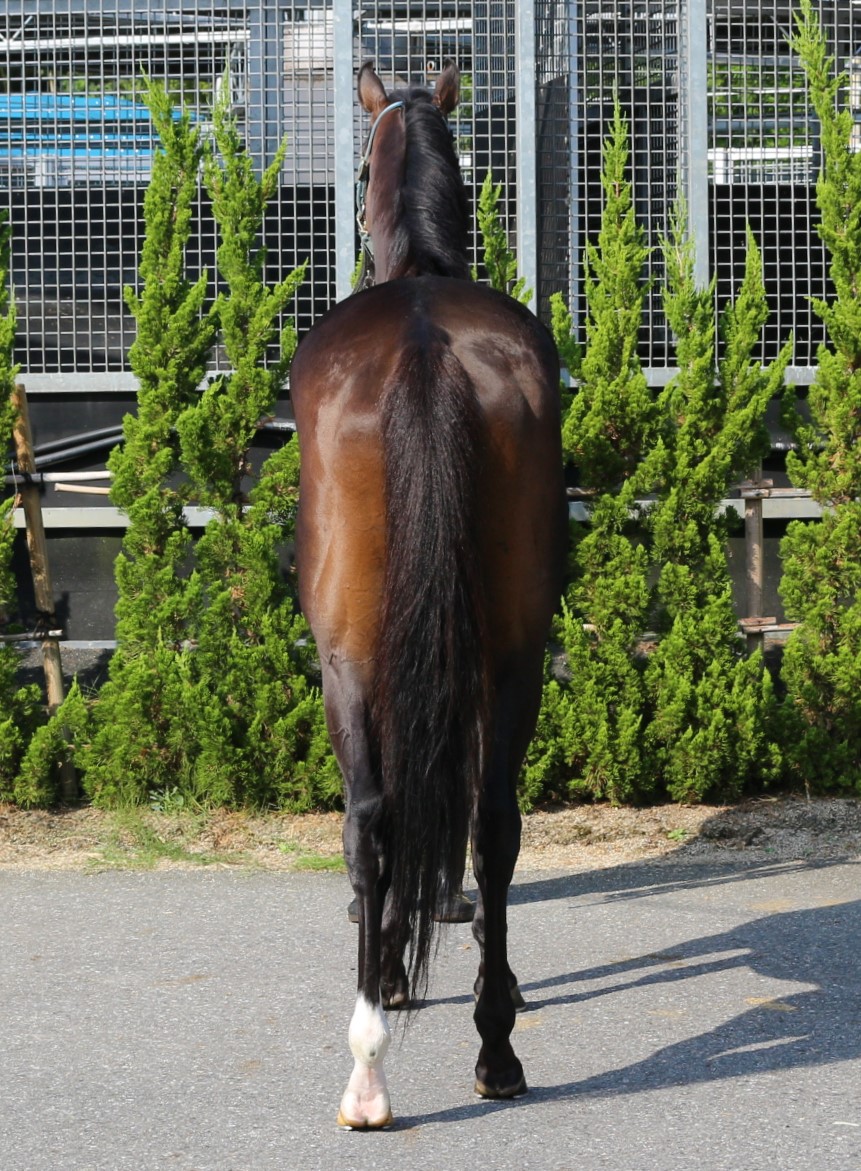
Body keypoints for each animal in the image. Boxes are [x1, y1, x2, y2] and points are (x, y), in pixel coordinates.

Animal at [289, 61, 566, 1128]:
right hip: (512, 649)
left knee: (371, 818)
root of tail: (423, 346)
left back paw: (374, 1056)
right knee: (492, 819)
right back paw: (494, 1047)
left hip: (350, 655)